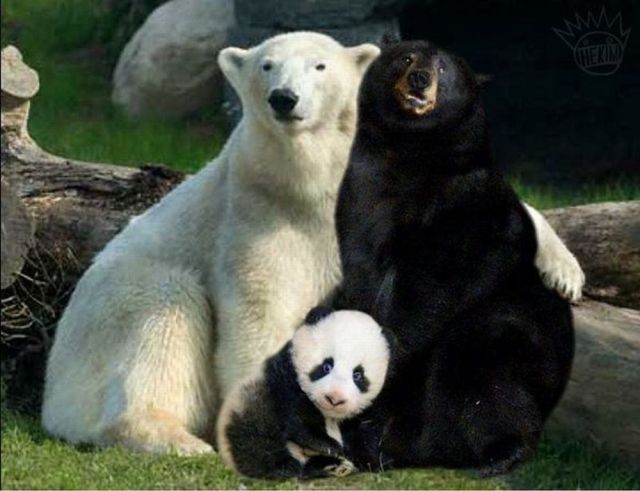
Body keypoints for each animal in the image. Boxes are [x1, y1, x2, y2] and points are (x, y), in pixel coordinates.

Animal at [216, 307, 392, 480]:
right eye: (326, 366)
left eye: (357, 375)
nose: (334, 398)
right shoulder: (285, 379)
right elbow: (298, 418)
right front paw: (329, 446)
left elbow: (365, 429)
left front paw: (368, 460)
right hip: (247, 407)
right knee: (258, 442)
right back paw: (294, 468)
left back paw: (331, 465)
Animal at [333, 40, 575, 475]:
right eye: (407, 58)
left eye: (443, 69)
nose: (419, 79)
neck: (412, 157)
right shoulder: (359, 198)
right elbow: (362, 274)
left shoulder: (466, 204)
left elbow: (433, 287)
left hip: (512, 347)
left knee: (484, 369)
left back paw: (498, 452)